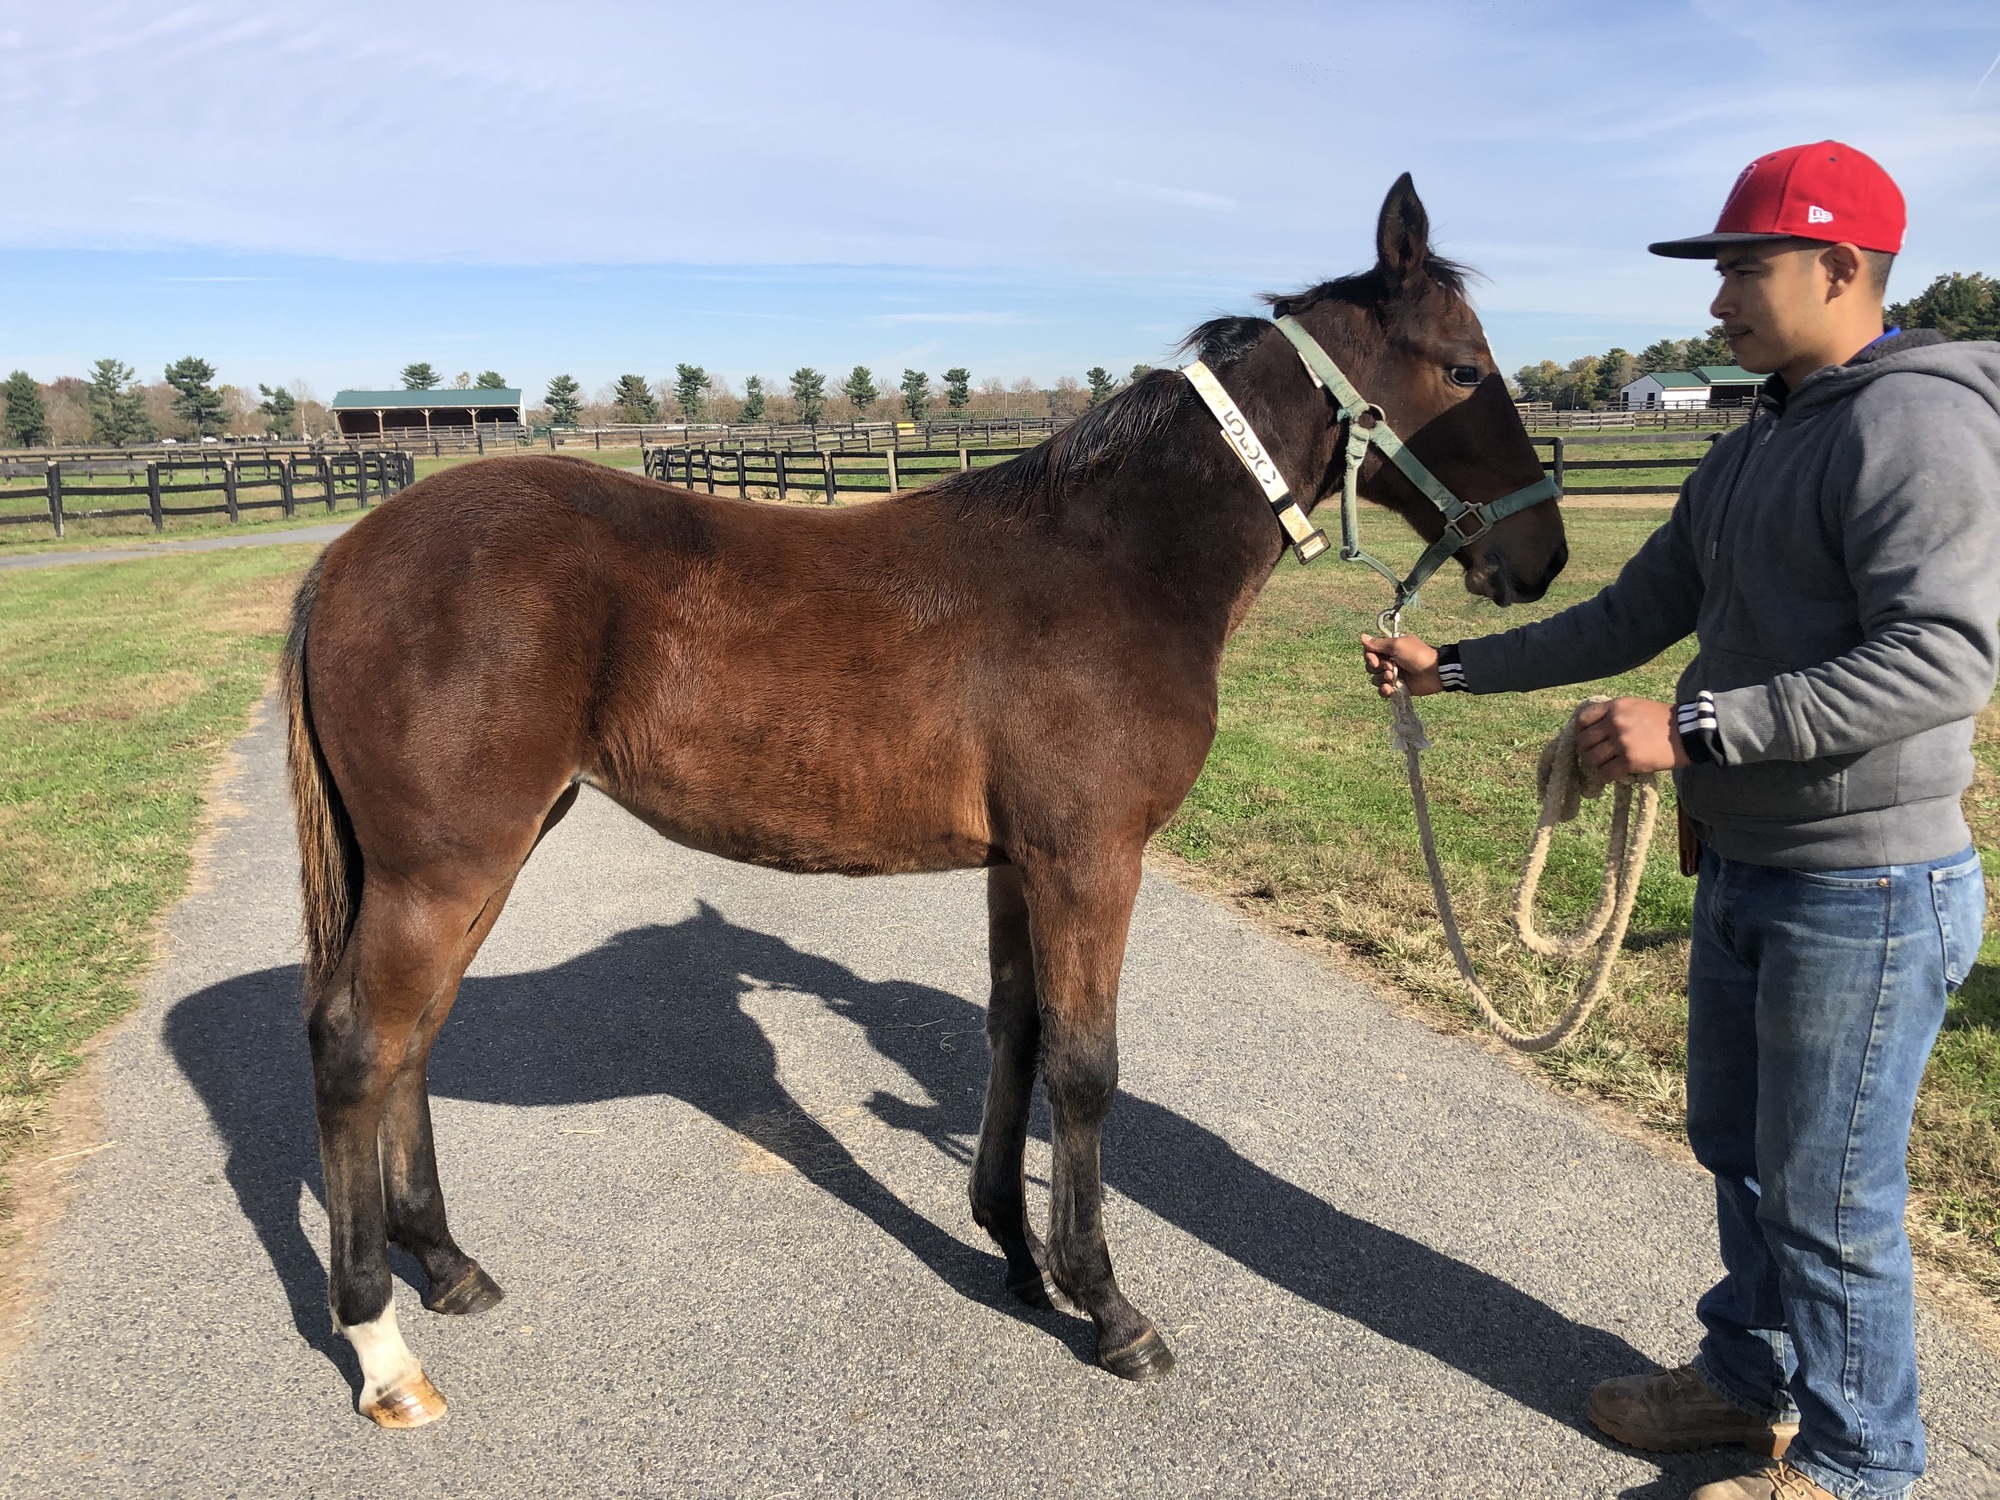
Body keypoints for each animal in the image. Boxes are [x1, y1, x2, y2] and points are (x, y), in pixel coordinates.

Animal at [281, 173, 1568, 1427]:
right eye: (1463, 368)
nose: (1539, 558)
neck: (1112, 562)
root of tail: (344, 556)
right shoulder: (1090, 860)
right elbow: (1084, 1068)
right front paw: (1109, 1310)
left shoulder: (1020, 864)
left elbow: (1015, 1035)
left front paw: (1015, 1253)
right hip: (446, 866)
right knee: (357, 1044)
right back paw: (382, 1349)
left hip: (477, 858)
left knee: (413, 1039)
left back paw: (449, 1264)